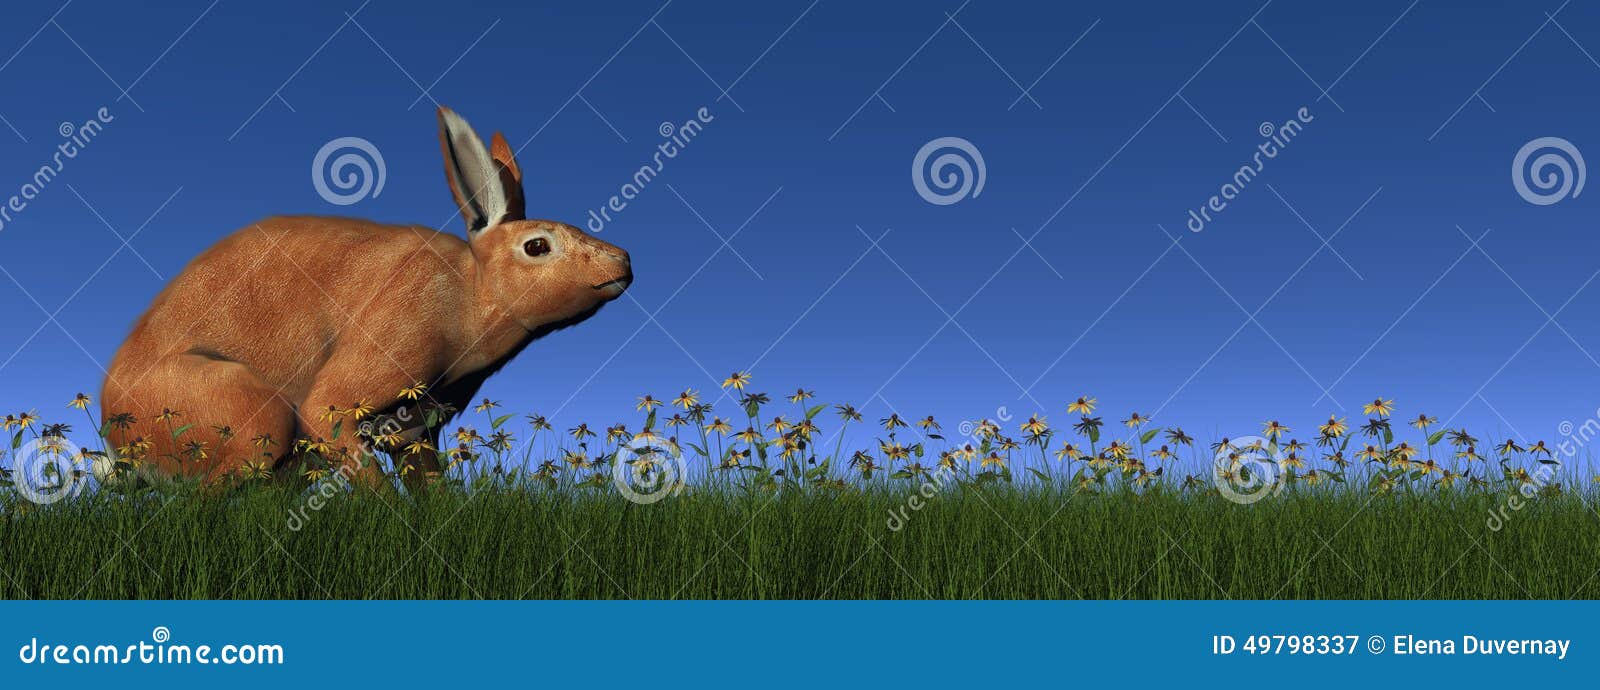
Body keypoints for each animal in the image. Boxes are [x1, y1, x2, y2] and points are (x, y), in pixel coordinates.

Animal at [100, 106, 632, 487]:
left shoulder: (416, 430)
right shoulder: (340, 401)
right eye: (537, 246)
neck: (470, 289)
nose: (623, 262)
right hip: (255, 417)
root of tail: (116, 433)